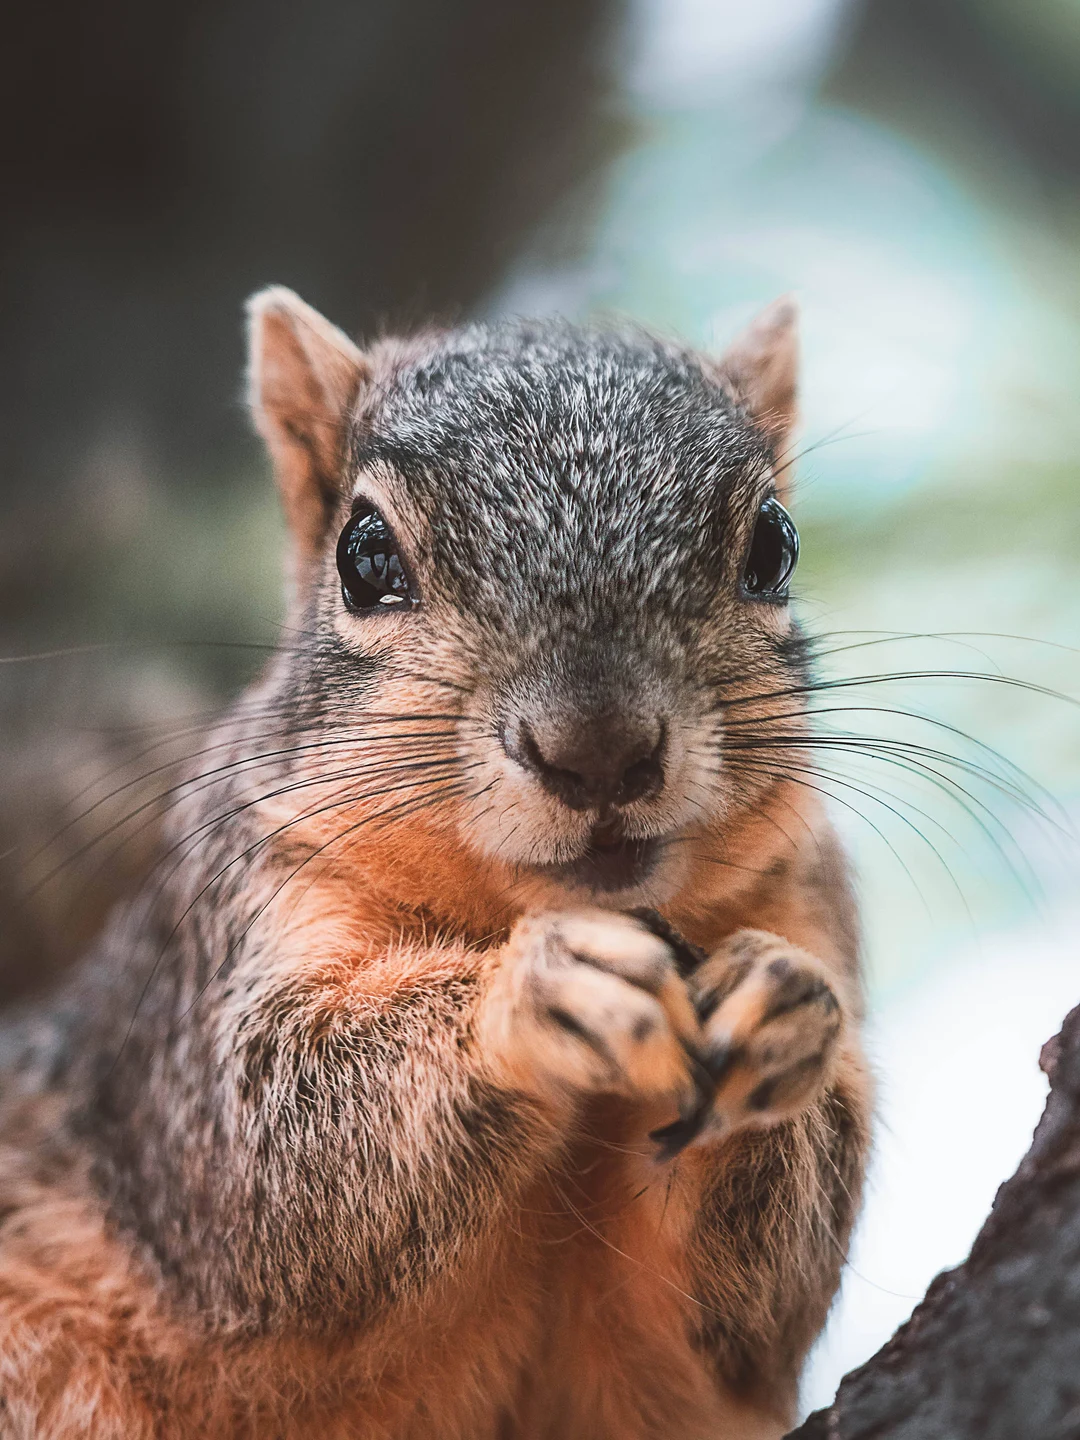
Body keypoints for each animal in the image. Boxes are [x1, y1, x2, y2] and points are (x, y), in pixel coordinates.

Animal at [0, 290, 871, 1440]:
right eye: (364, 559)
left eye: (774, 545)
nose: (597, 749)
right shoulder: (211, 964)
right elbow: (263, 1157)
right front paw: (534, 989)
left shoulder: (804, 897)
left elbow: (753, 1314)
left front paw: (785, 1009)